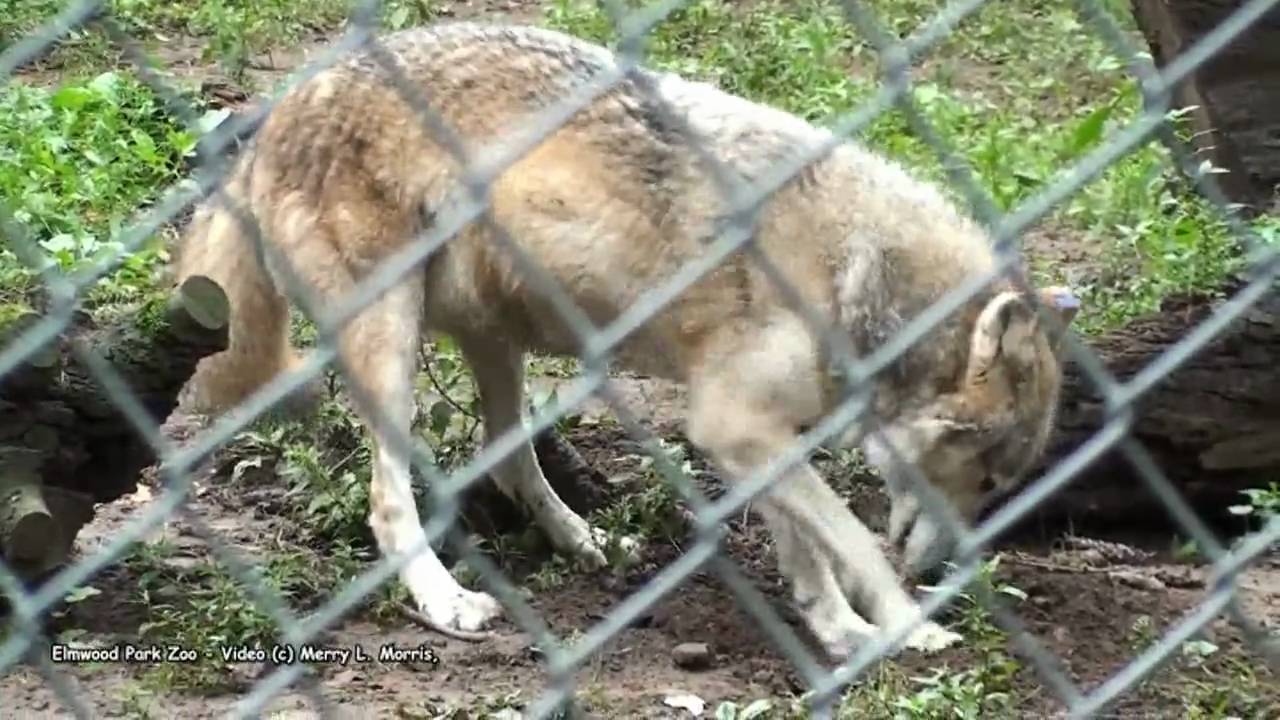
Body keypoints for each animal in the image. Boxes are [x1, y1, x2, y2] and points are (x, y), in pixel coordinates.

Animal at [172, 22, 1078, 658]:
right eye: (985, 474)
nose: (941, 569)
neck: (850, 273)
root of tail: (277, 113)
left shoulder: (757, 439)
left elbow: (812, 552)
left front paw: (843, 633)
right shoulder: (732, 426)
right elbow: (853, 540)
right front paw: (907, 626)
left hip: (497, 345)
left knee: (507, 458)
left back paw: (584, 543)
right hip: (391, 349)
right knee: (392, 501)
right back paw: (446, 602)